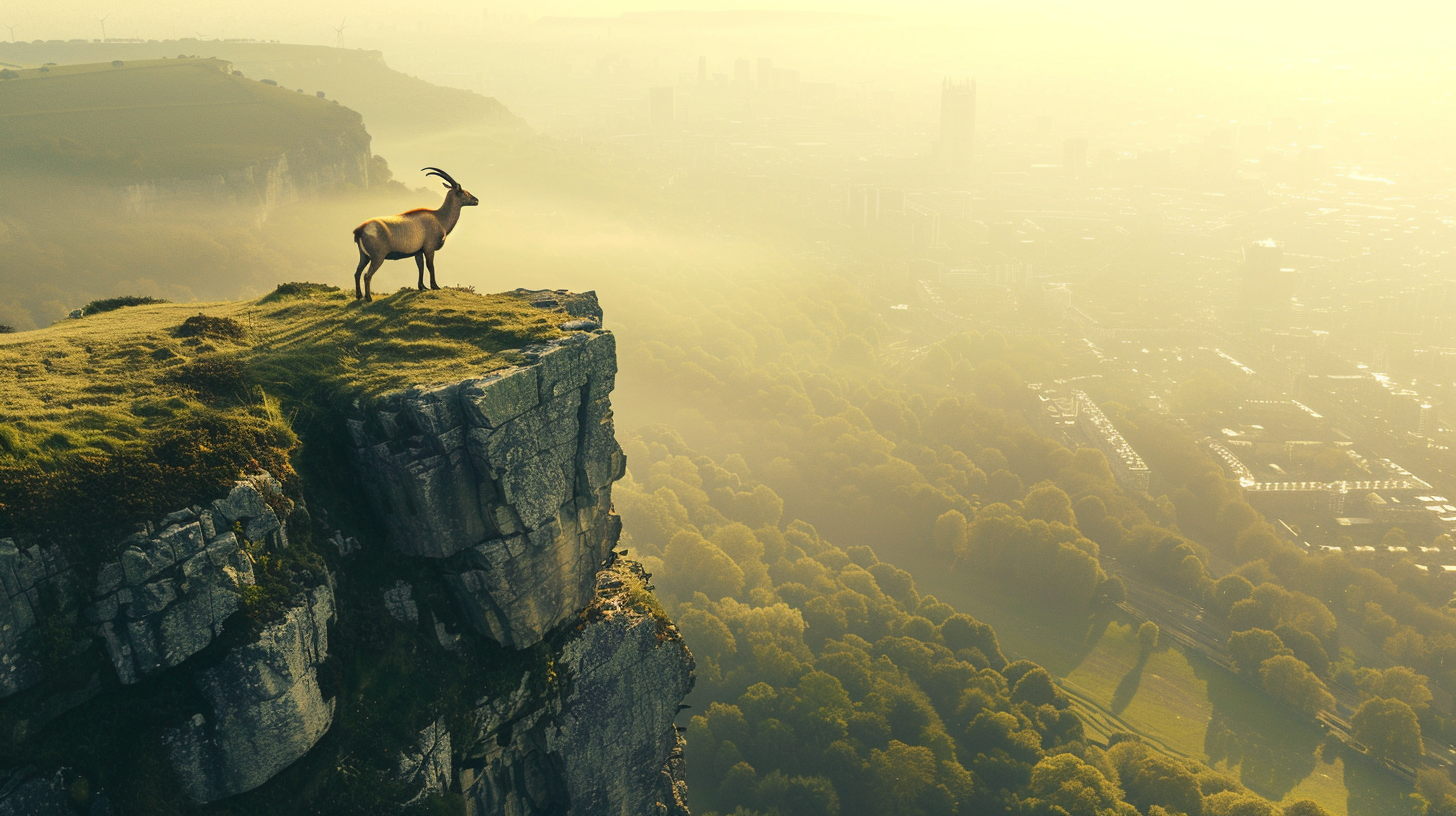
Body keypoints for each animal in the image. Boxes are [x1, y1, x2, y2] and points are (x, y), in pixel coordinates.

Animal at [351, 167, 479, 302]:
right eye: (462, 191)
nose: (476, 200)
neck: (439, 217)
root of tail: (360, 229)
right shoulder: (429, 248)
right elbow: (430, 266)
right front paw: (435, 286)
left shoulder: (418, 251)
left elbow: (420, 266)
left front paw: (422, 286)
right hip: (377, 257)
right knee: (367, 275)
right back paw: (368, 298)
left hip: (364, 256)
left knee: (357, 272)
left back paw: (359, 296)